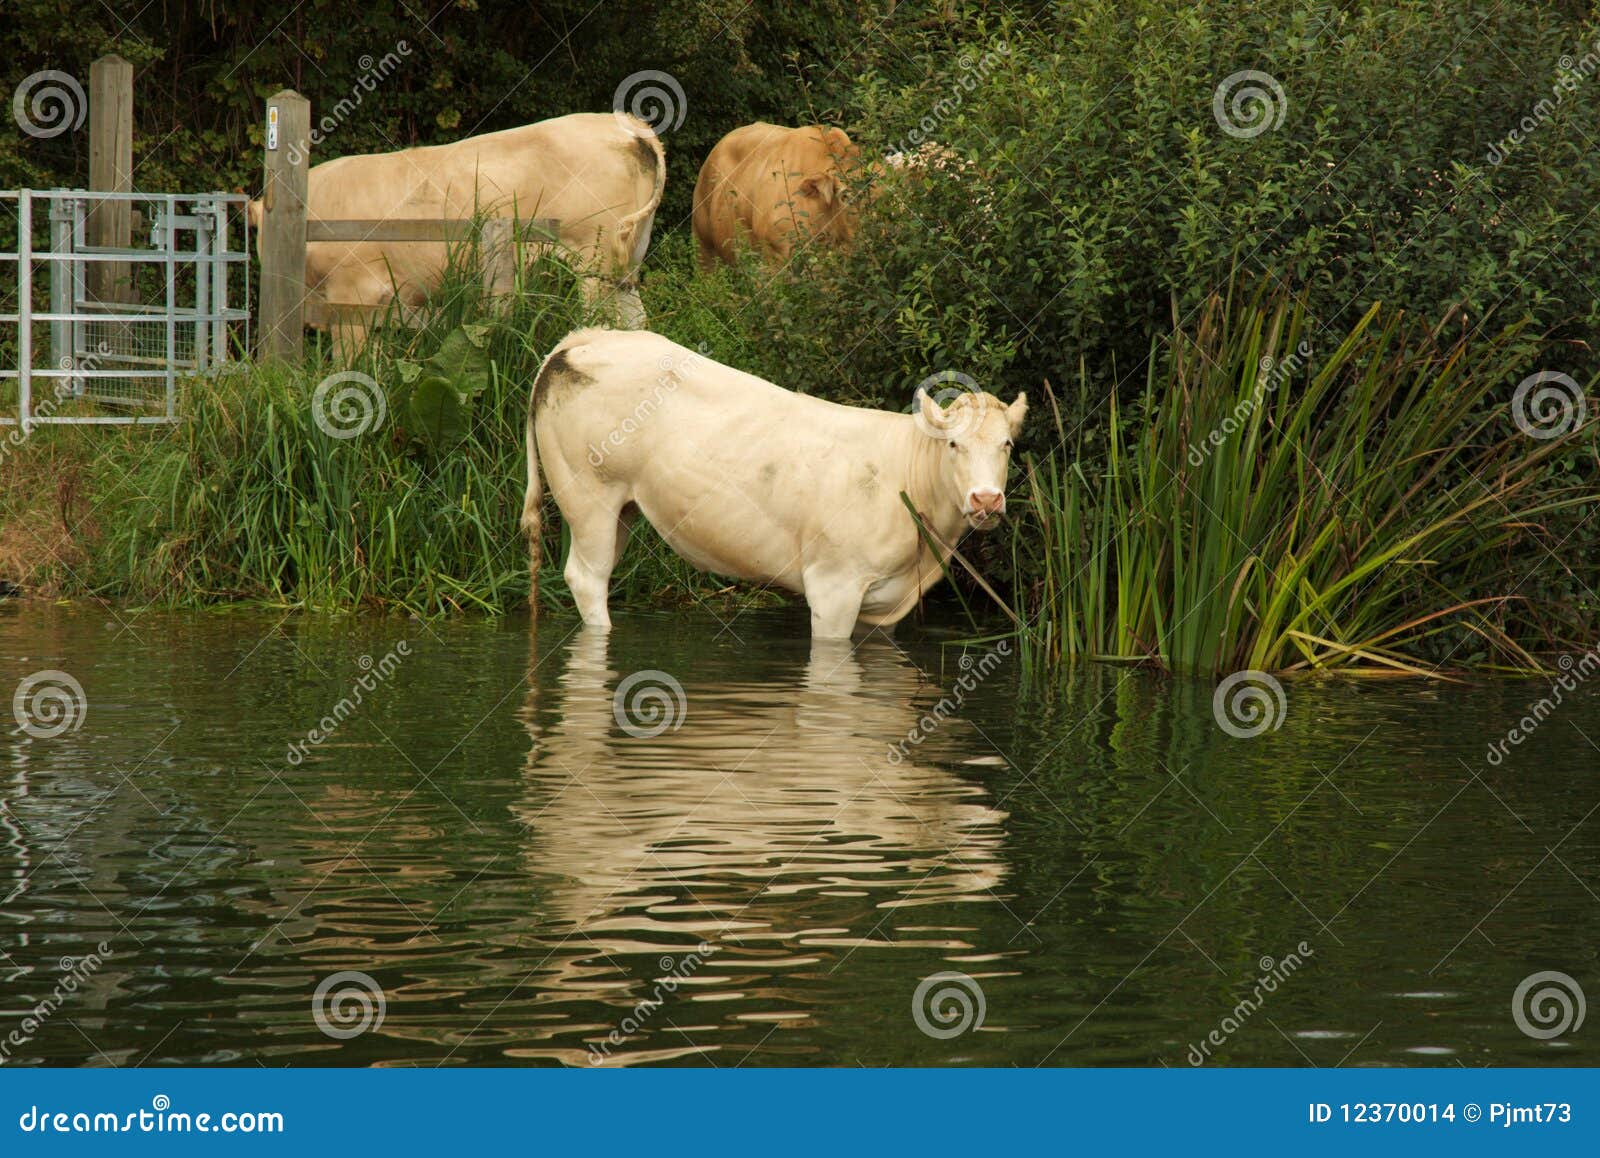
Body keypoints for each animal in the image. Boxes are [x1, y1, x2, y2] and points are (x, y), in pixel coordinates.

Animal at [248, 112, 665, 344]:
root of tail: (630, 128)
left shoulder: (353, 293)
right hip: (625, 267)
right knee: (636, 322)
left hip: (592, 263)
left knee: (602, 322)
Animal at [520, 328, 1026, 638]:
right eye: (953, 444)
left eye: (1007, 445)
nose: (986, 499)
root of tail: (584, 339)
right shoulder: (833, 585)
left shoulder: (883, 606)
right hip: (588, 495)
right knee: (587, 577)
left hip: (623, 505)